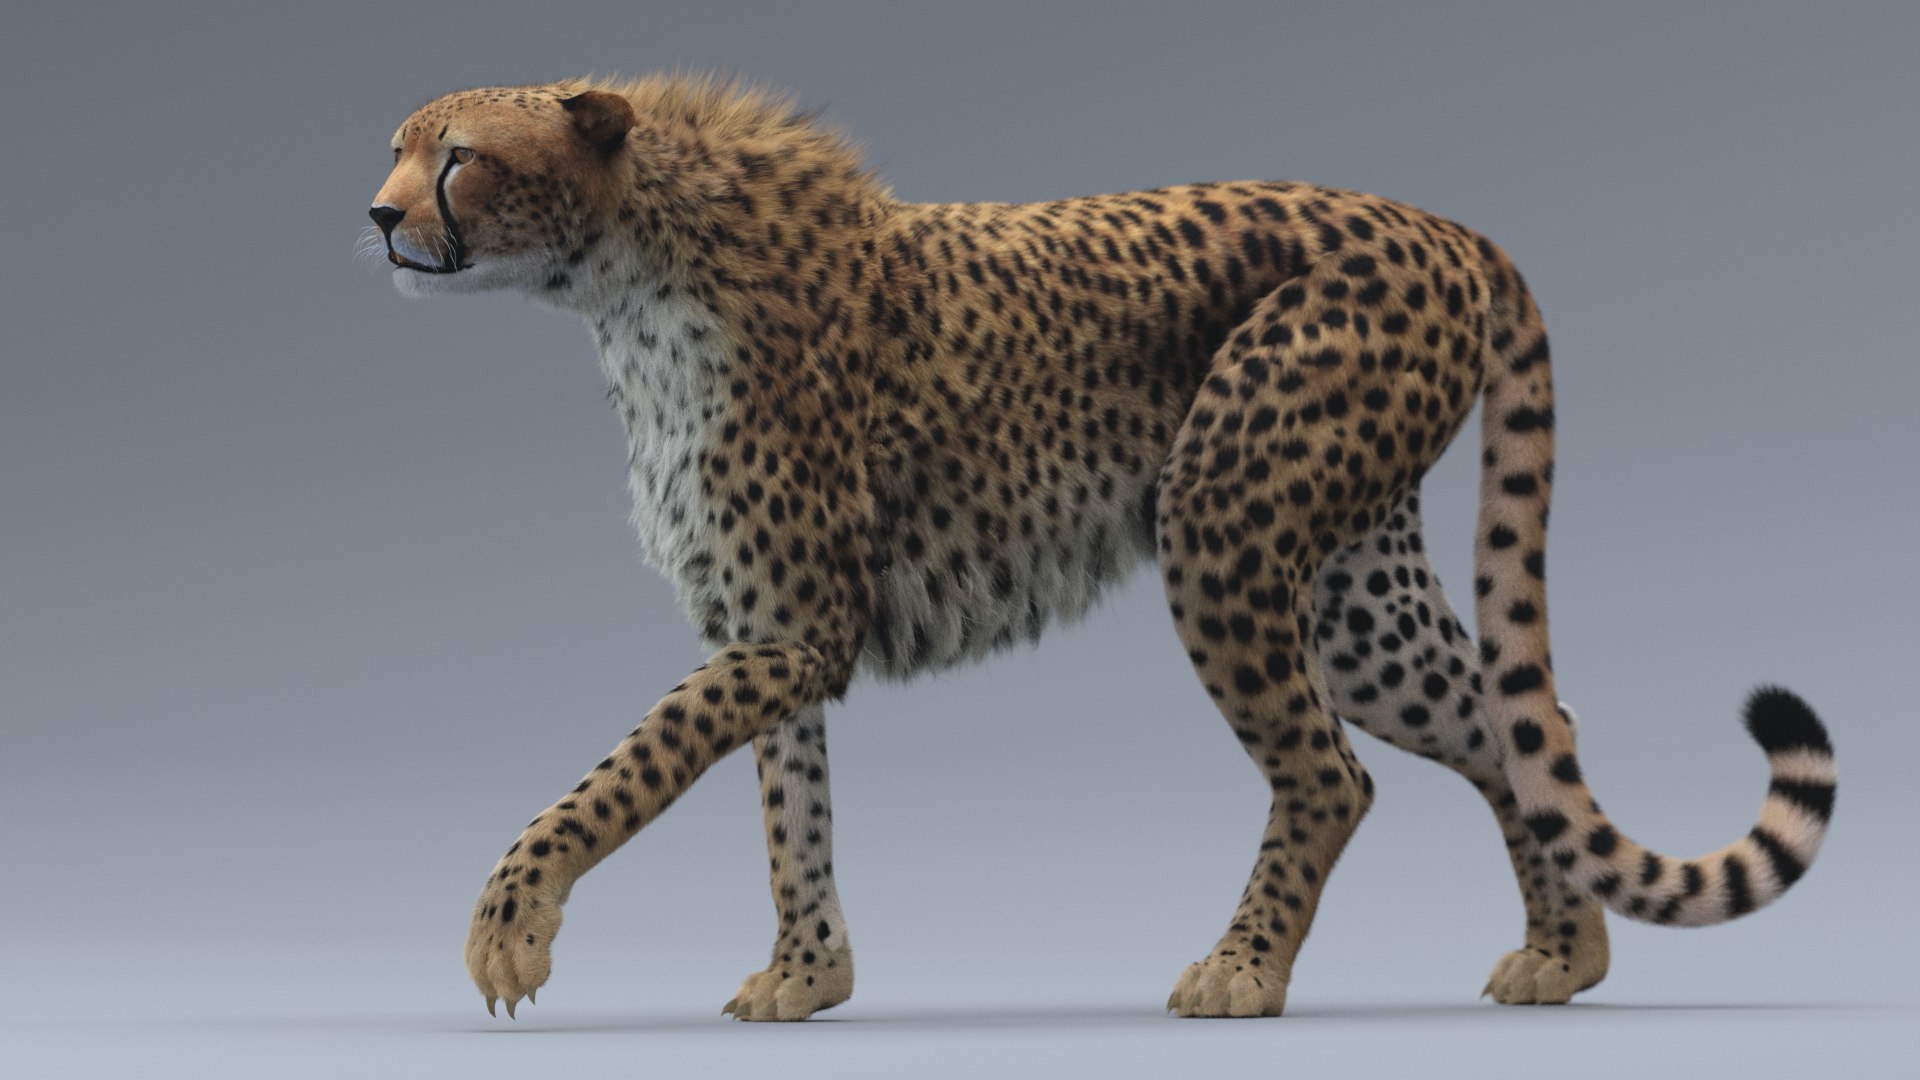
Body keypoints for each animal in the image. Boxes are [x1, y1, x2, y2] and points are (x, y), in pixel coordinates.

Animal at [367, 76, 1838, 1021]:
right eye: (398, 151)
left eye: (459, 159)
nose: (377, 218)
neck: (628, 269)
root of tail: (1438, 223)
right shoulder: (765, 623)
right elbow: (791, 812)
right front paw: (806, 979)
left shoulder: (794, 625)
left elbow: (628, 766)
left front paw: (510, 927)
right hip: (1355, 588)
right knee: (1511, 725)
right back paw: (1562, 956)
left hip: (1223, 518)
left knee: (1335, 774)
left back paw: (1242, 975)